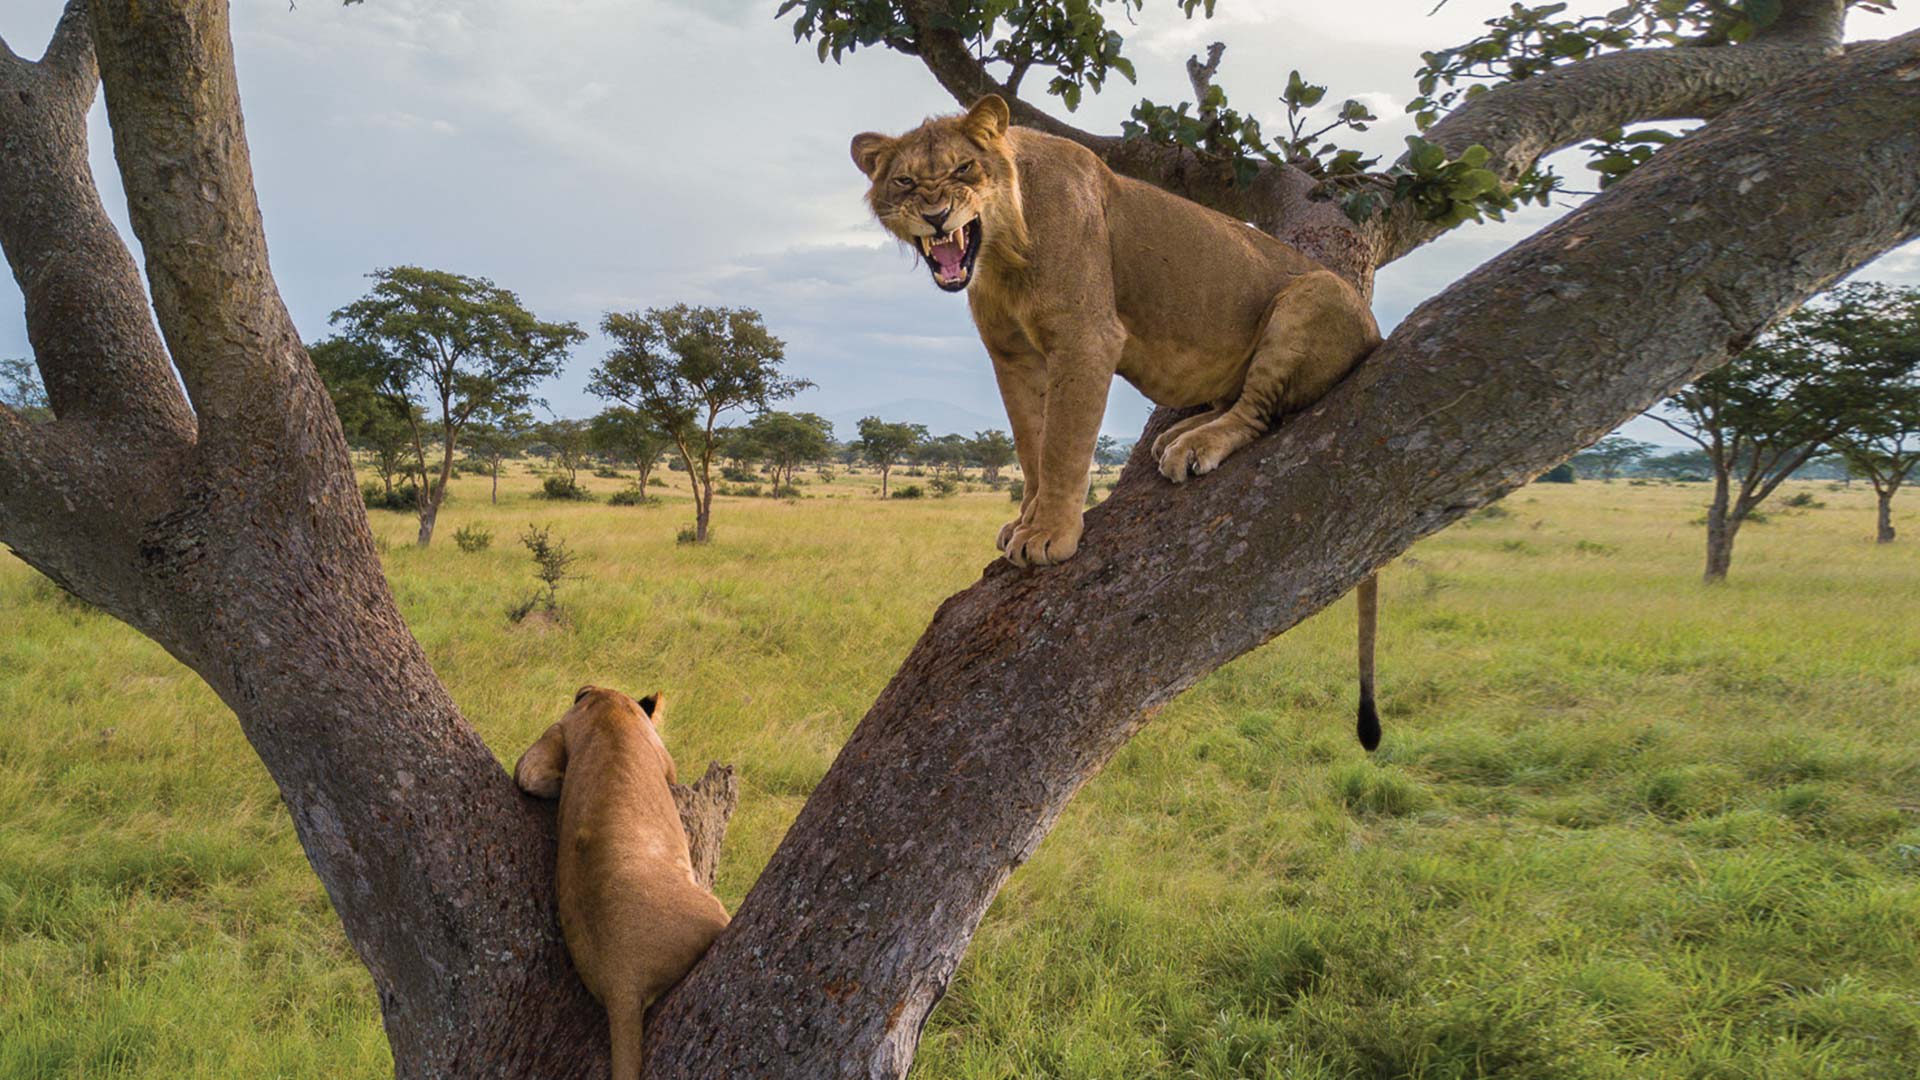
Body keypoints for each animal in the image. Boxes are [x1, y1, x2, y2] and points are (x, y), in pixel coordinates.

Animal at [514, 686, 730, 1080]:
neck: (608, 704)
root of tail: (621, 981)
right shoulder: (664, 758)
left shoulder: (557, 732)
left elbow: (529, 772)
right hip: (712, 911)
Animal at [851, 95, 1386, 749]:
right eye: (904, 181)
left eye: (962, 169)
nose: (935, 215)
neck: (1000, 252)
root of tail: (1376, 330)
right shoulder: (1011, 355)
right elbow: (1030, 446)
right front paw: (1026, 519)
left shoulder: (1087, 338)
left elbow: (1062, 446)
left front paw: (1049, 536)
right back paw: (1179, 433)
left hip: (1312, 293)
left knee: (1259, 410)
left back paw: (1194, 445)